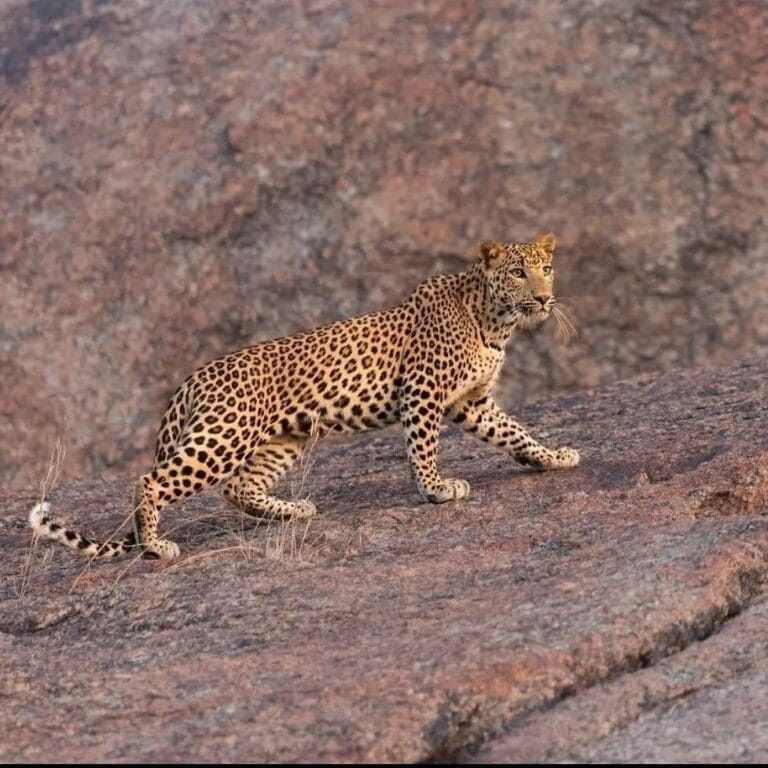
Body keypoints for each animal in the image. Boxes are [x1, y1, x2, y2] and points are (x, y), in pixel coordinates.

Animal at [29, 233, 579, 561]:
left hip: (281, 440)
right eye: (518, 272)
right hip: (224, 436)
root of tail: (192, 379)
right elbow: (424, 447)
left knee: (238, 488)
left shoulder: (471, 402)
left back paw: (292, 511)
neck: (494, 321)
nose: (544, 298)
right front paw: (437, 489)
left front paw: (553, 457)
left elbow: (515, 432)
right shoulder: (423, 393)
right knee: (152, 479)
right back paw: (156, 545)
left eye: (546, 268)